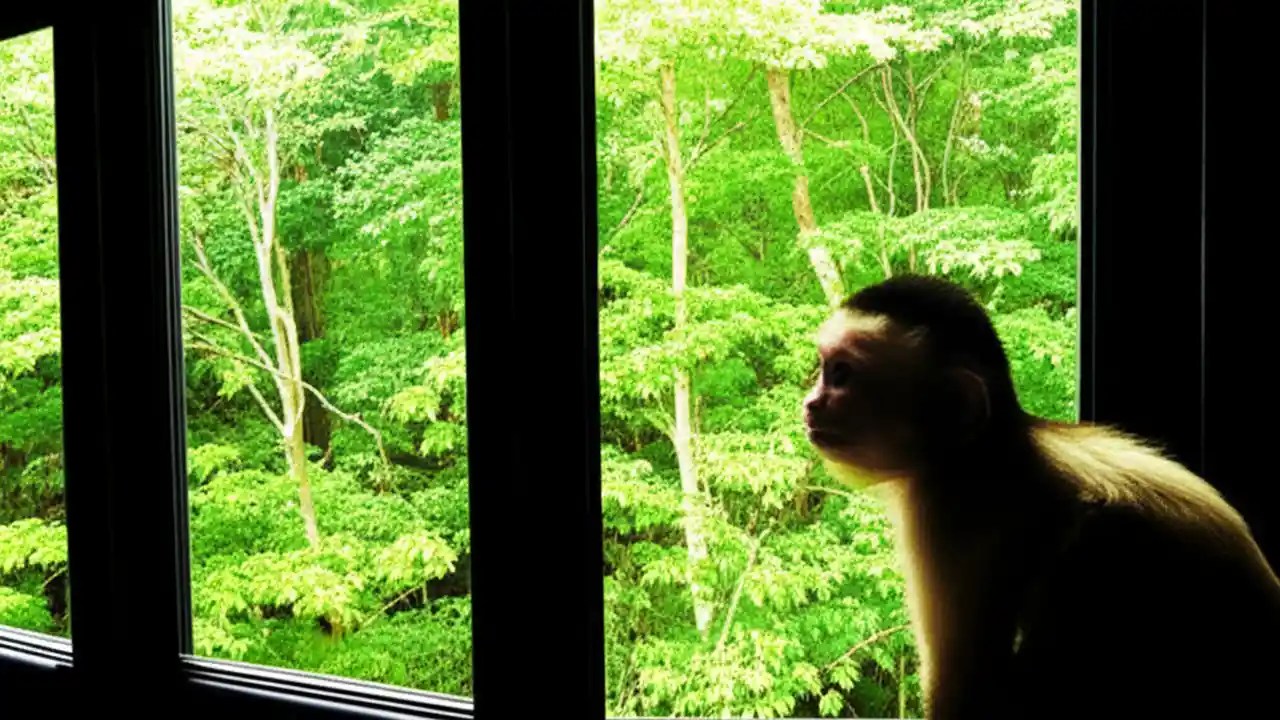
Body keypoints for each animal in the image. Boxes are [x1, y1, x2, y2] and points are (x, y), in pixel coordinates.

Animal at [802, 275, 1280, 719]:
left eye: (840, 374)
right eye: (825, 368)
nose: (810, 402)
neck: (984, 451)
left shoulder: (953, 513)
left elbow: (968, 692)